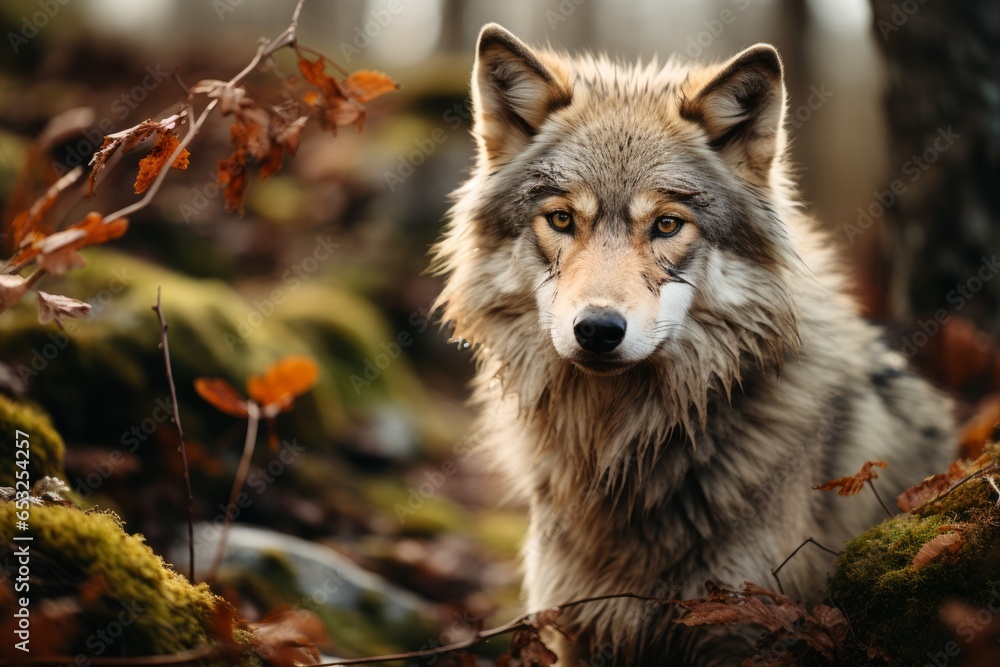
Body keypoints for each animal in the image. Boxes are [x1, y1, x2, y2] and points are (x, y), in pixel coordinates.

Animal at [432, 24, 955, 665]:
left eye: (666, 225)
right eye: (560, 220)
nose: (597, 329)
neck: (623, 450)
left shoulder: (747, 628)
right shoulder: (577, 626)